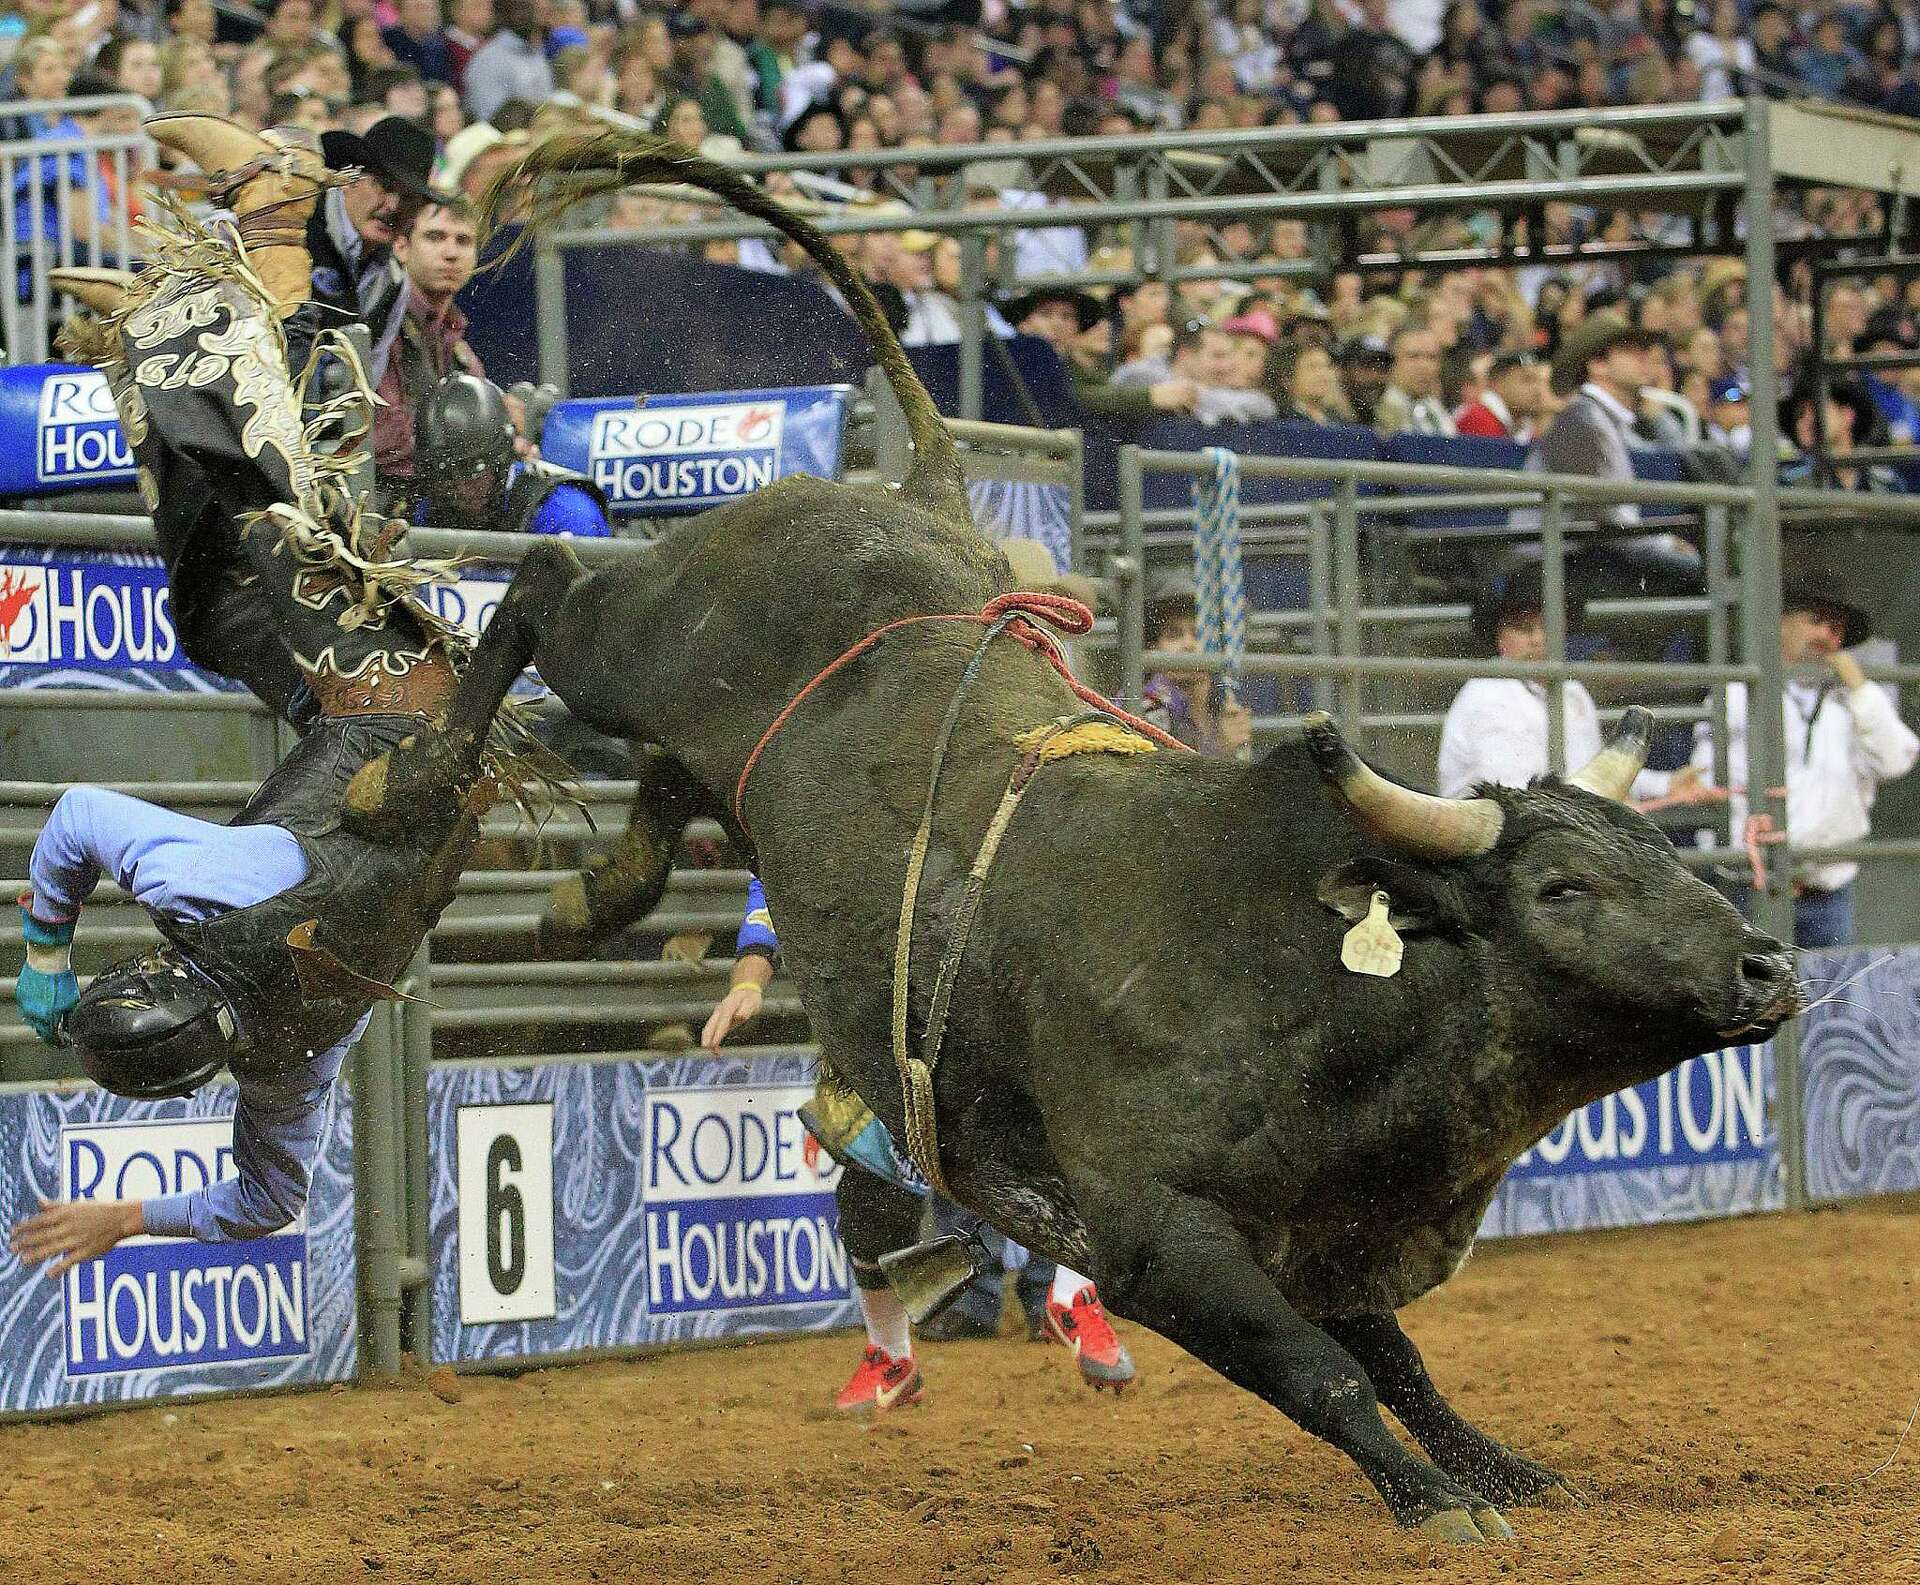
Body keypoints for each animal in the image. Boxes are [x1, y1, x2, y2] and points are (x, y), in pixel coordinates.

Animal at [345, 133, 1803, 1542]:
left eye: (1666, 860)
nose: (1768, 967)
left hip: (712, 747)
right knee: (544, 584)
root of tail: (920, 496)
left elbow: (1401, 1363)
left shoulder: (1318, 1231)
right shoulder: (1157, 1236)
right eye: (1563, 887)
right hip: (643, 641)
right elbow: (1329, 1370)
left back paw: (595, 892)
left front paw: (1503, 1469)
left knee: (669, 781)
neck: (1312, 974)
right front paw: (1439, 1505)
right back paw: (403, 780)